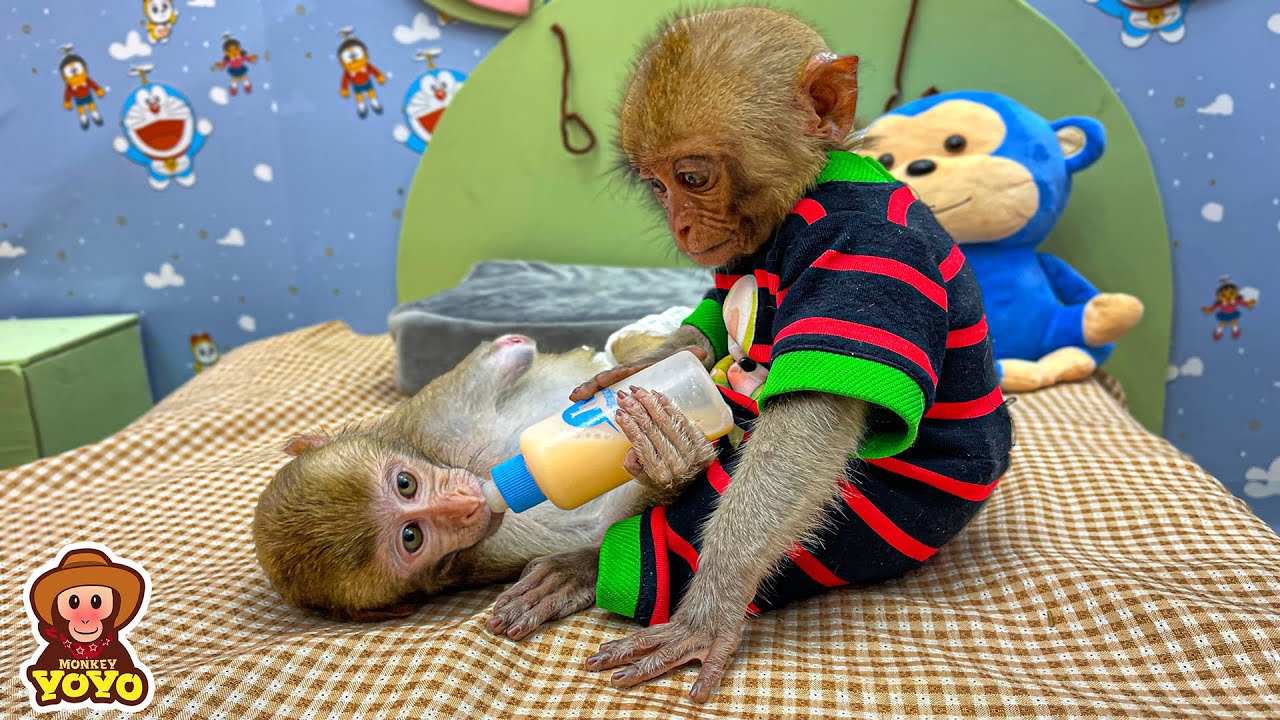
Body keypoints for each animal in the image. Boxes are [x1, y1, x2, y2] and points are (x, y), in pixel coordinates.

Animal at [253, 334, 717, 627]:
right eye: (411, 537)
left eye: (405, 484)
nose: (465, 503)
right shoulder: (487, 550)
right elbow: (619, 526)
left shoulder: (429, 417)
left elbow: (488, 366)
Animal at [525, 8, 1013, 703]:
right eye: (657, 186)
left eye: (692, 178)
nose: (680, 226)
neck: (806, 191)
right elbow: (707, 317)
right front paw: (638, 368)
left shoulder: (866, 248)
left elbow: (807, 428)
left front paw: (708, 613)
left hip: (887, 526)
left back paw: (603, 556)